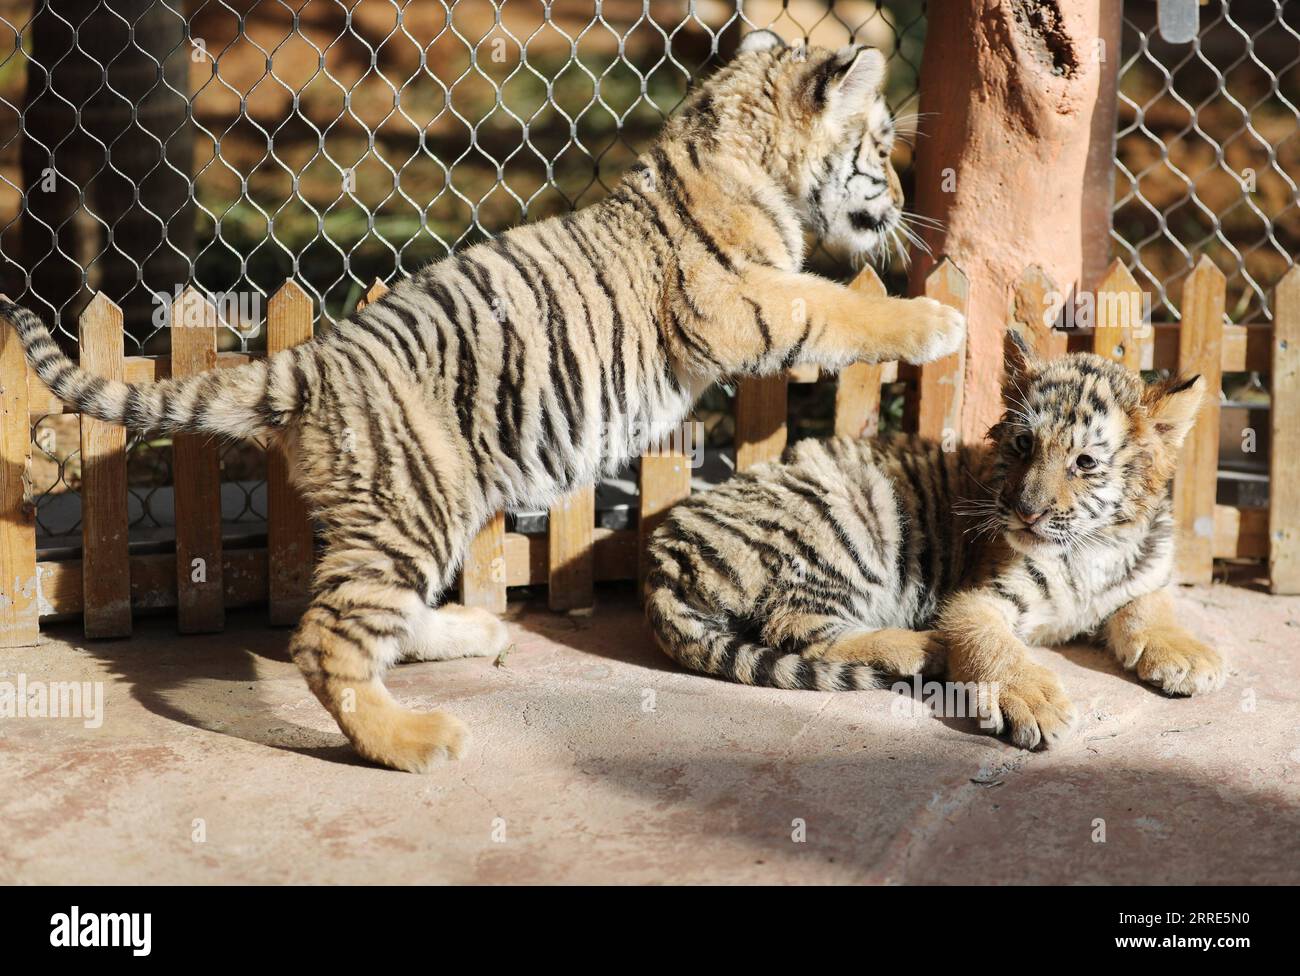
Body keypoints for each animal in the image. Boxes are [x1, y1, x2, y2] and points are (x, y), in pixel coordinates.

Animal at [3, 29, 964, 772]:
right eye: (881, 144)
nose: (906, 197)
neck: (729, 144)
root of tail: (307, 365)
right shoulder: (740, 303)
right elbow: (838, 306)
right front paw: (937, 319)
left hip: (418, 506)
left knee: (376, 616)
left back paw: (472, 633)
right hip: (415, 503)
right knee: (325, 638)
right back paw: (414, 740)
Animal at [644, 332, 1226, 749]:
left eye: (1083, 462)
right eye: (1023, 444)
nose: (1026, 510)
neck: (1091, 549)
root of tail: (665, 547)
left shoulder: (1144, 575)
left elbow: (1151, 606)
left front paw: (1188, 655)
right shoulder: (975, 600)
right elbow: (993, 644)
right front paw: (1033, 699)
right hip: (849, 524)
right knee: (795, 628)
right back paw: (926, 648)